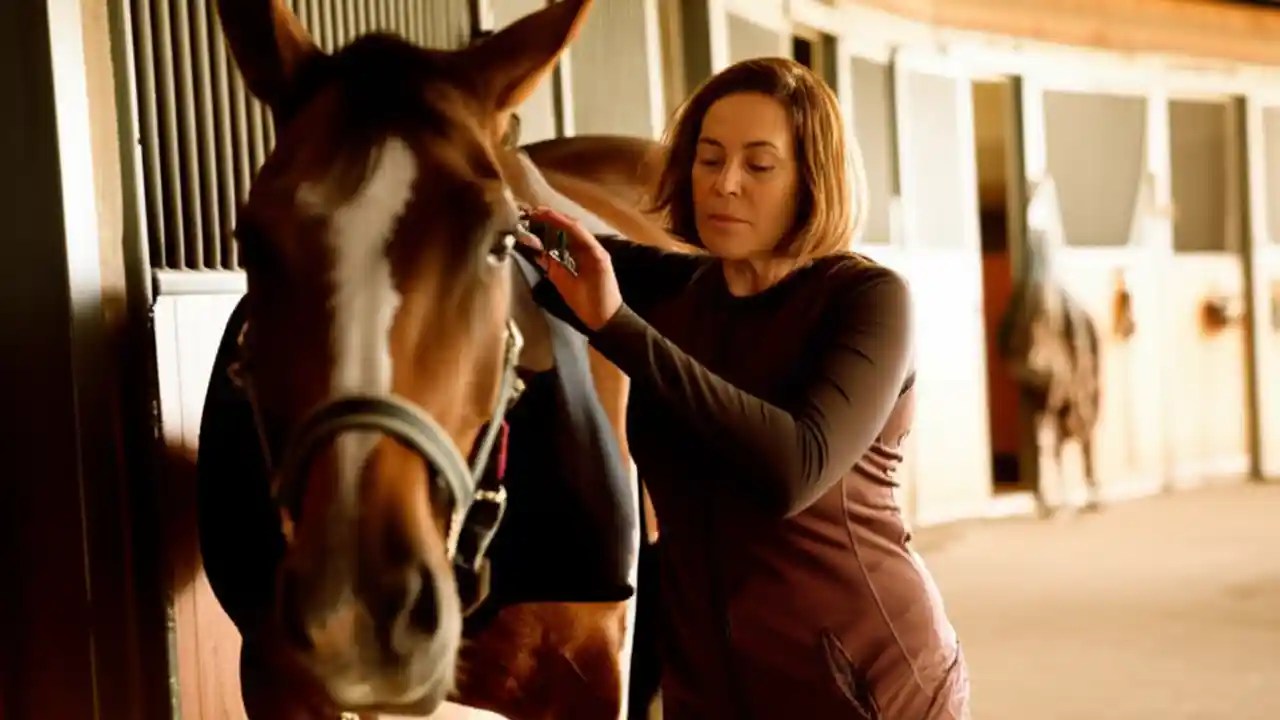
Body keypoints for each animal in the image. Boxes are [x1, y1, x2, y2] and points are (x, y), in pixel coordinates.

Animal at [997, 177, 1104, 515]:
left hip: (1088, 388)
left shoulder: (1062, 382)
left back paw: (1093, 498)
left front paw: (1060, 502)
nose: (1035, 223)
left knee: (1086, 432)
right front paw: (1047, 501)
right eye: (1030, 195)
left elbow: (1058, 438)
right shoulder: (1029, 384)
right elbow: (1042, 440)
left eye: (1043, 193)